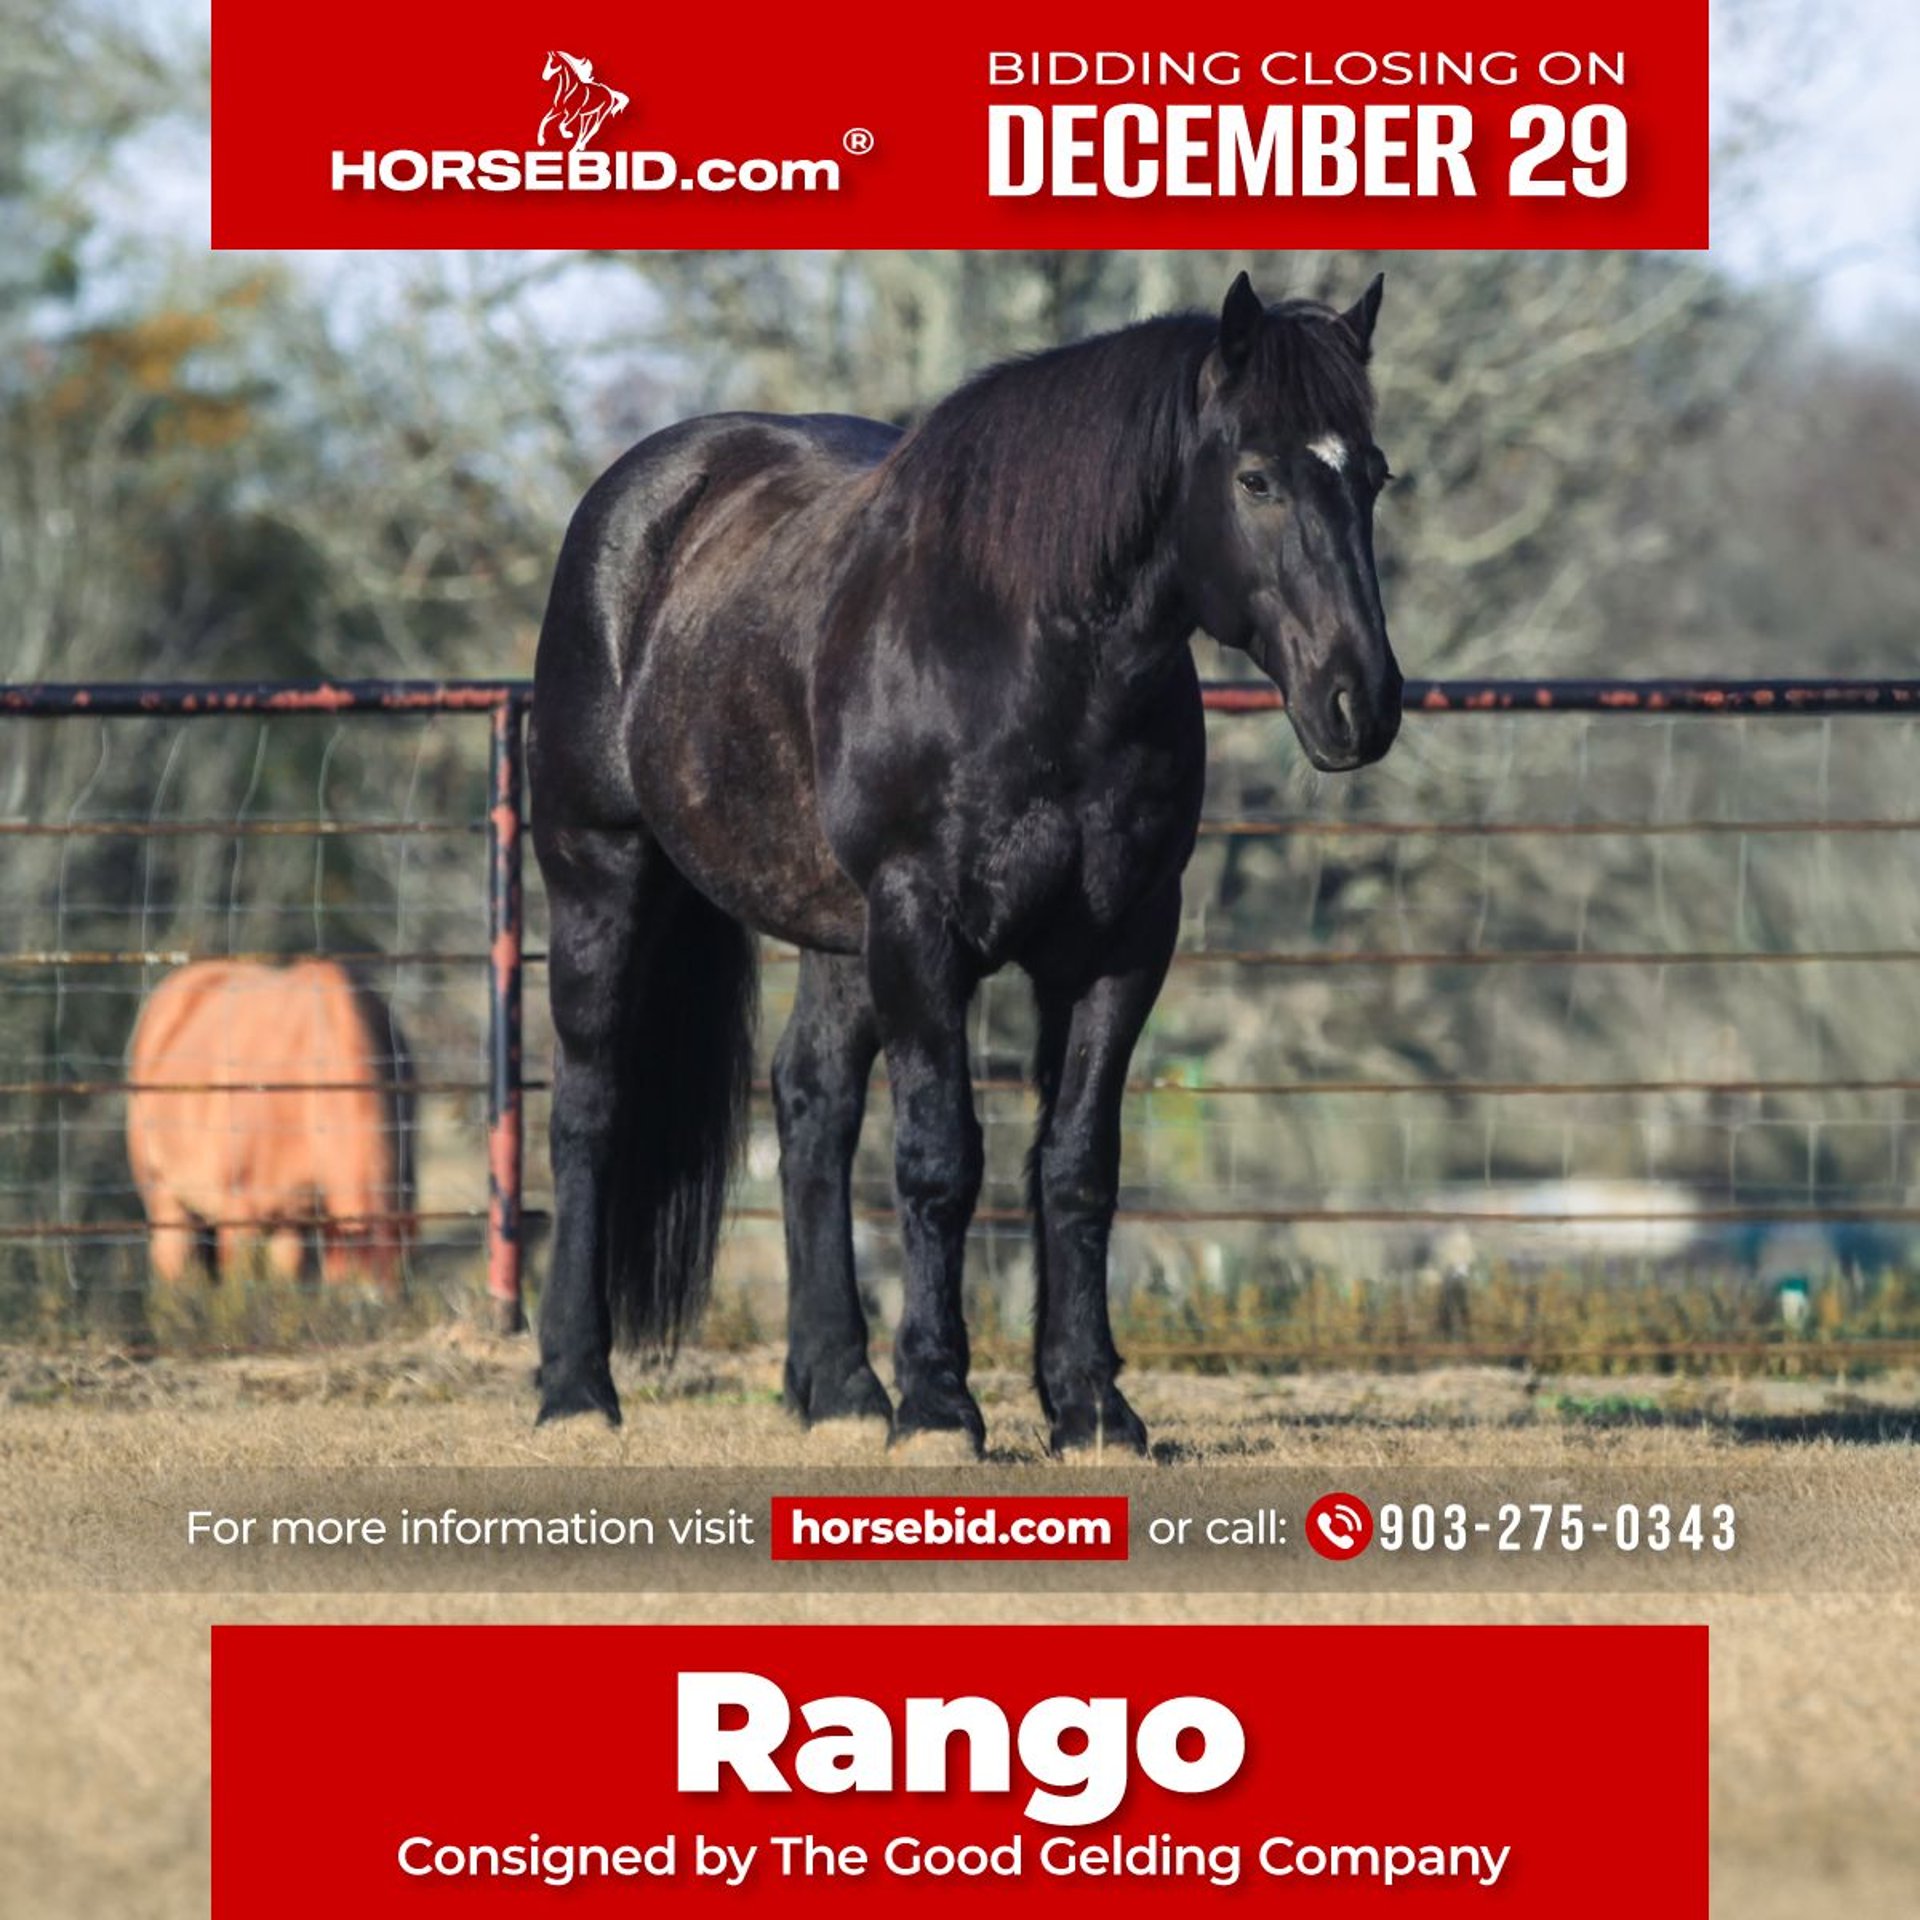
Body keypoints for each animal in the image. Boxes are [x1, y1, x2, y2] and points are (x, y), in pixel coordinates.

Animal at [529, 271, 1402, 1453]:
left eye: (1373, 474)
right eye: (1256, 476)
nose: (1362, 702)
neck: (1027, 654)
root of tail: (643, 496)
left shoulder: (1124, 942)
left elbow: (1077, 1166)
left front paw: (1091, 1405)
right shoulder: (921, 926)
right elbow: (940, 1159)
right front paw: (942, 1405)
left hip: (837, 935)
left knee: (810, 1106)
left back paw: (839, 1388)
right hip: (598, 874)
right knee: (589, 1107)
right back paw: (577, 1388)